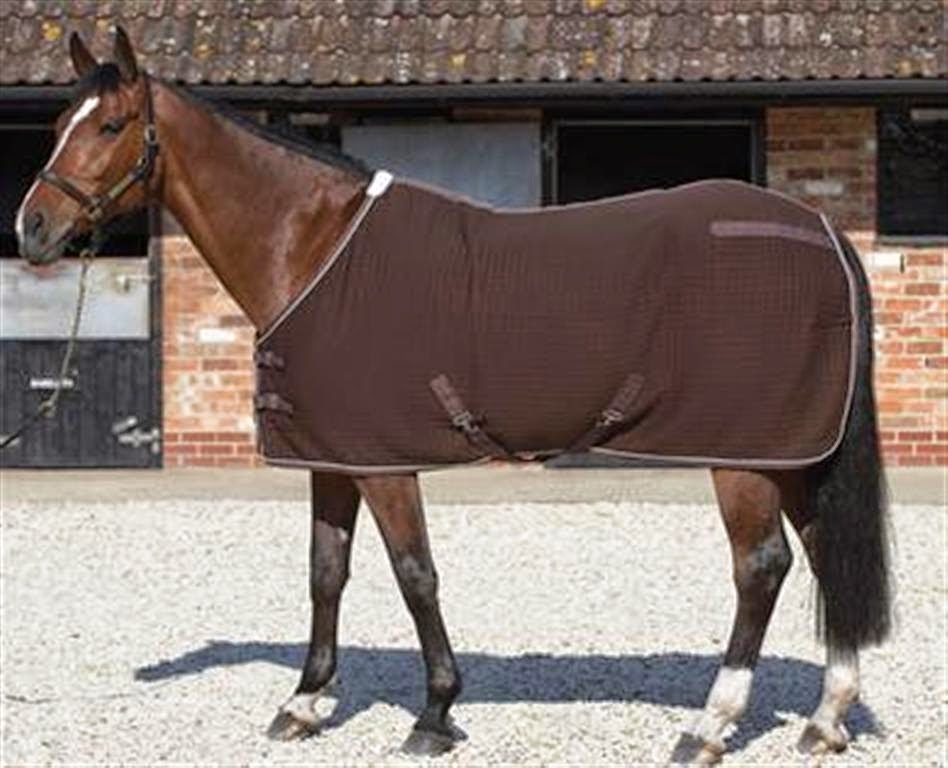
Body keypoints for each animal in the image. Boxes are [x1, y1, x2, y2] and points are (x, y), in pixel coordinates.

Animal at [15, 28, 890, 764]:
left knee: (763, 567)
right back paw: (825, 718)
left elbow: (414, 574)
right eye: (59, 120)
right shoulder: (333, 456)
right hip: (792, 449)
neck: (314, 248)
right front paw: (305, 702)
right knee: (822, 551)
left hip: (742, 452)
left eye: (110, 126)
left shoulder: (384, 462)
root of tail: (820, 229)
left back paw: (709, 726)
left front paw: (434, 714)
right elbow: (325, 571)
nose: (31, 229)